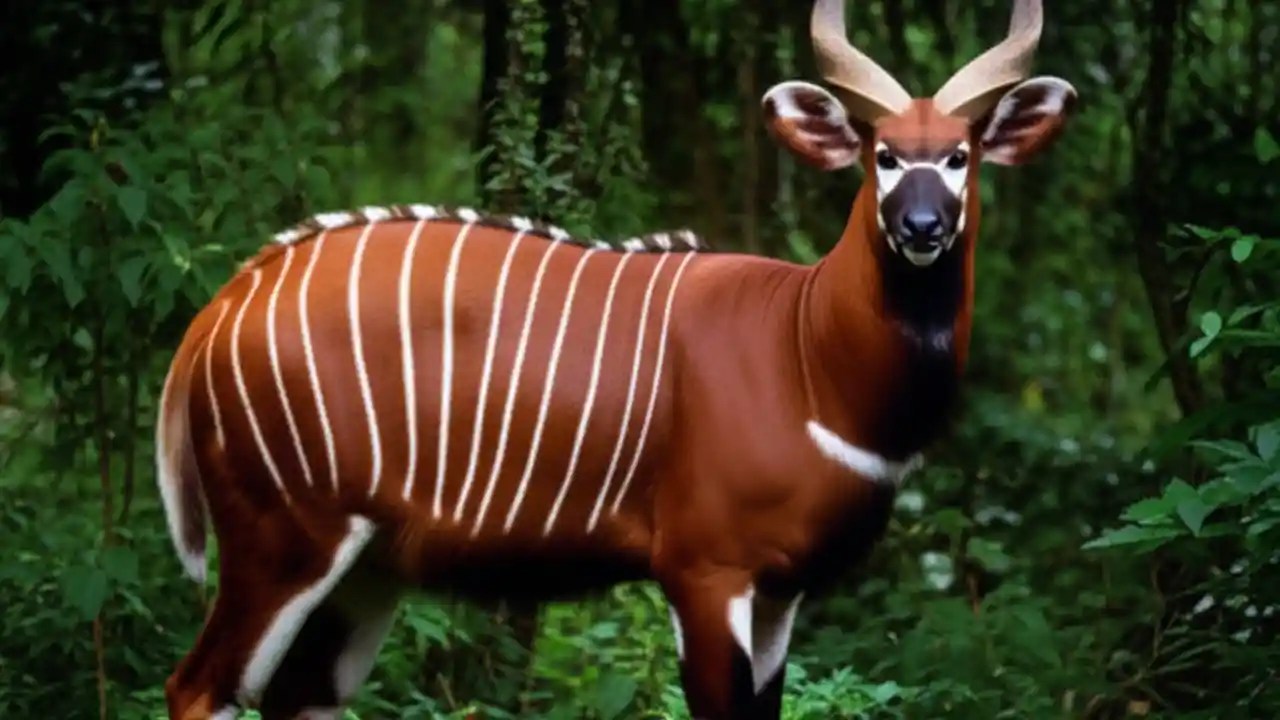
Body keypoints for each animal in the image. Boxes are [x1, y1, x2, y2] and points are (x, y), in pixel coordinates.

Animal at [155, 1, 1075, 717]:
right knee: (198, 687)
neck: (807, 354)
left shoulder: (781, 591)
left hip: (370, 564)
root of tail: (220, 309)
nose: (922, 229)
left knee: (297, 697)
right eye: (881, 153)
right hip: (284, 536)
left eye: (959, 155)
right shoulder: (706, 570)